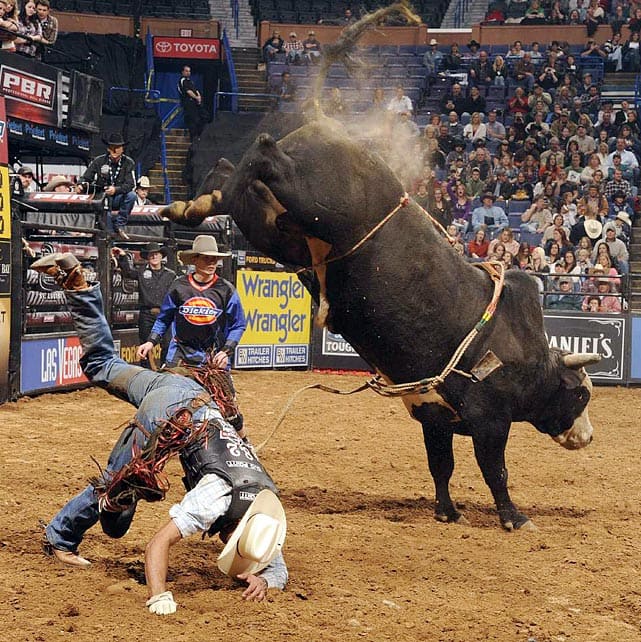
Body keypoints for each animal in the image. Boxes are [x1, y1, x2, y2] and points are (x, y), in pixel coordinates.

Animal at [163, 117, 601, 532]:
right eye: (581, 394)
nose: (588, 436)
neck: (522, 352)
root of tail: (325, 133)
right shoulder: (491, 421)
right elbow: (496, 471)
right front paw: (515, 518)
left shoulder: (434, 416)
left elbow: (441, 467)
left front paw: (447, 512)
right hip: (307, 201)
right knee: (264, 153)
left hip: (271, 227)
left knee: (229, 177)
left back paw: (191, 205)